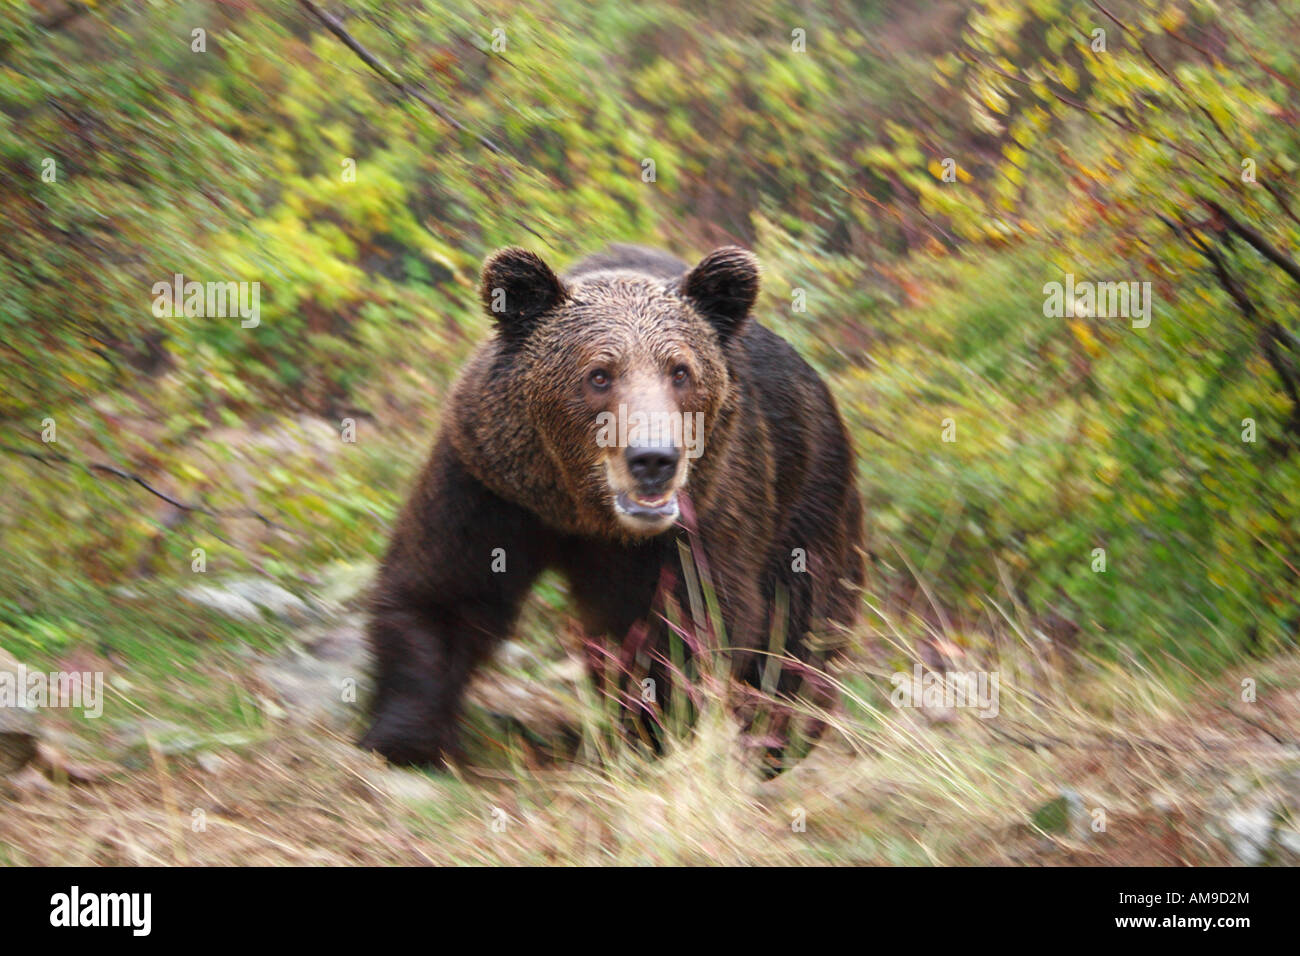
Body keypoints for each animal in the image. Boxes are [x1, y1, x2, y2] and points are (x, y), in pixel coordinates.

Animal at [360, 243, 864, 771]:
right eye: (598, 374)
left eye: (680, 371)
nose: (654, 459)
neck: (586, 515)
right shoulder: (492, 484)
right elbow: (445, 589)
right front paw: (405, 735)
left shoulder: (704, 516)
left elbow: (692, 626)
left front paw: (645, 737)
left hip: (809, 502)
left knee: (800, 630)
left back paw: (779, 742)